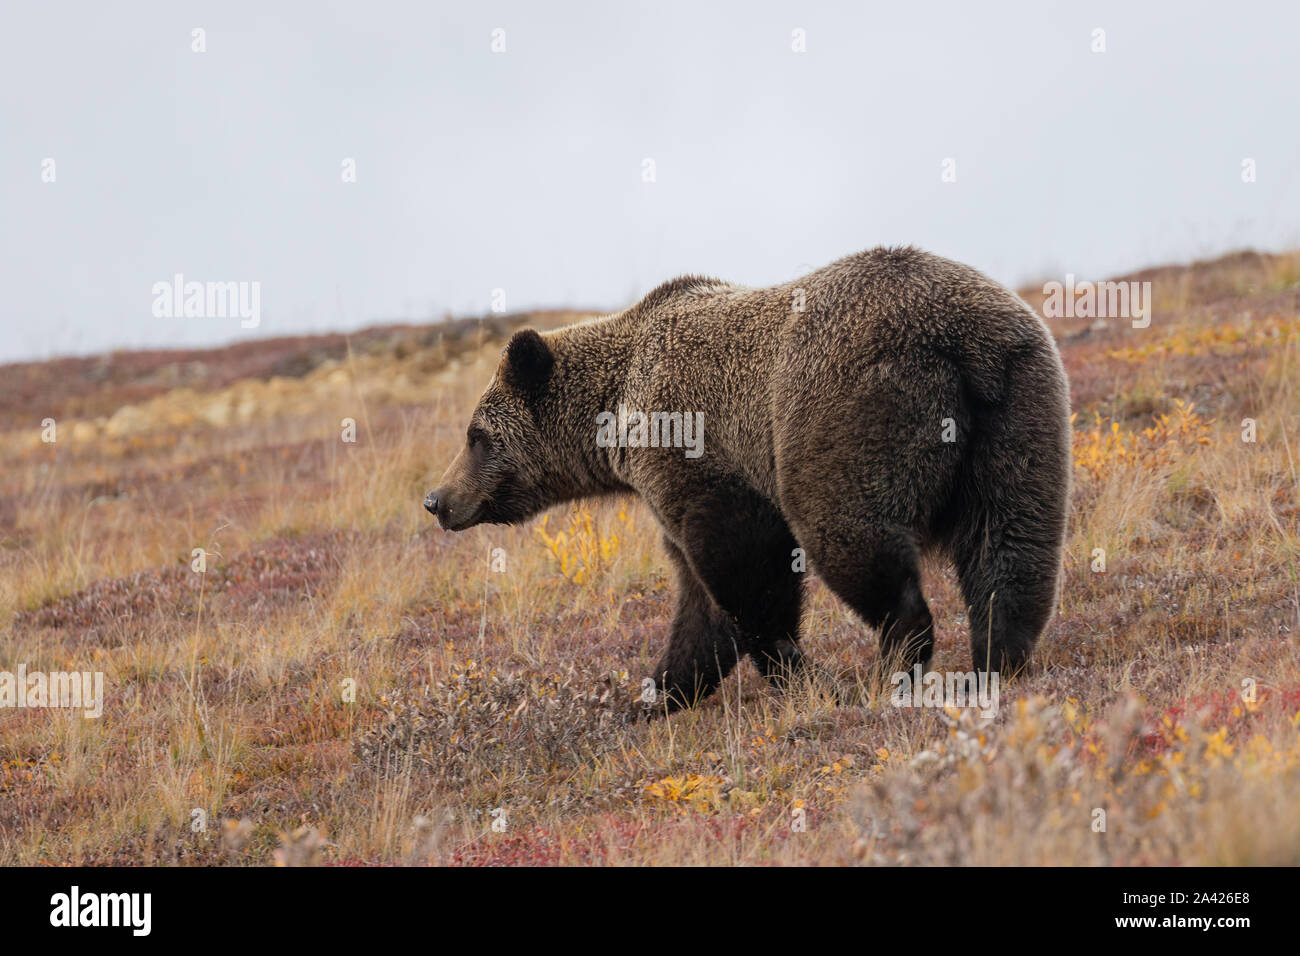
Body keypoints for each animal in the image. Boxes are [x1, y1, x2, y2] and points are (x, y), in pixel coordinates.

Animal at [425, 246, 1071, 714]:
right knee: (1010, 544)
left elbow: (744, 568)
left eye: (476, 435)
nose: (437, 499)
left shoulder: (696, 452)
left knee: (852, 536)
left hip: (843, 412)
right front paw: (656, 691)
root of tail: (959, 340)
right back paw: (998, 660)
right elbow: (699, 603)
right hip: (1020, 407)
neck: (617, 410)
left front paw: (798, 674)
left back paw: (897, 662)